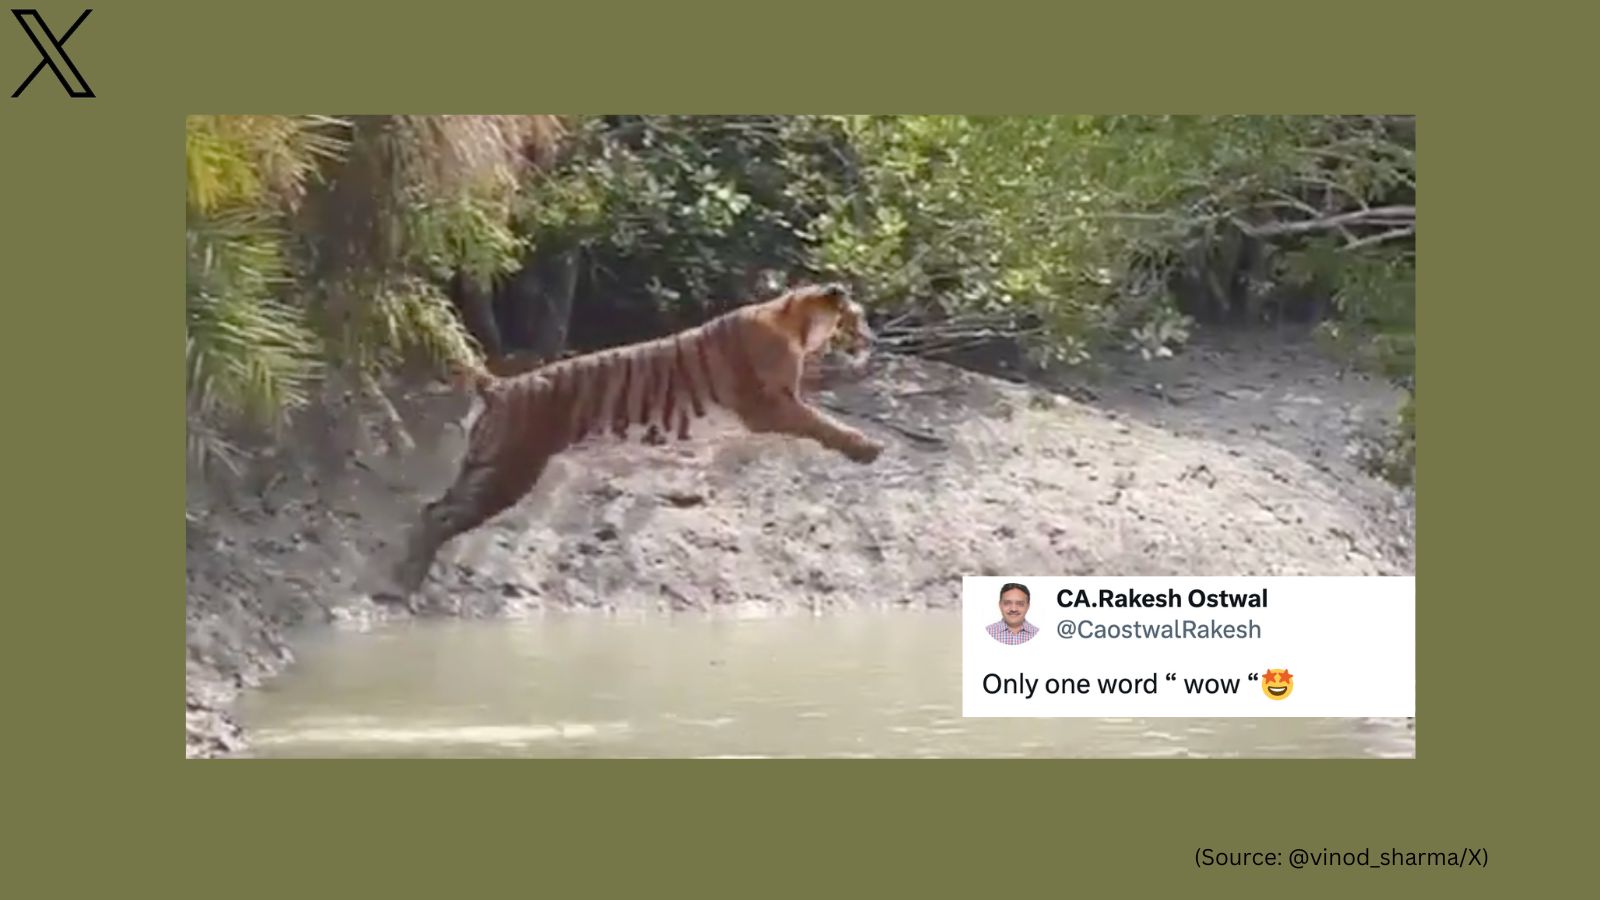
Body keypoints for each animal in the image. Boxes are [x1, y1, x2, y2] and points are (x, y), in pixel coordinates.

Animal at [379, 282, 885, 602]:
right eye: (858, 319)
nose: (874, 338)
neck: (797, 321)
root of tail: (498, 385)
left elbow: (821, 413)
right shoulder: (769, 406)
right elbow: (823, 421)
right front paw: (866, 447)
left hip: (483, 464)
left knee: (432, 509)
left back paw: (399, 581)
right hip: (511, 469)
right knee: (443, 516)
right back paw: (405, 585)